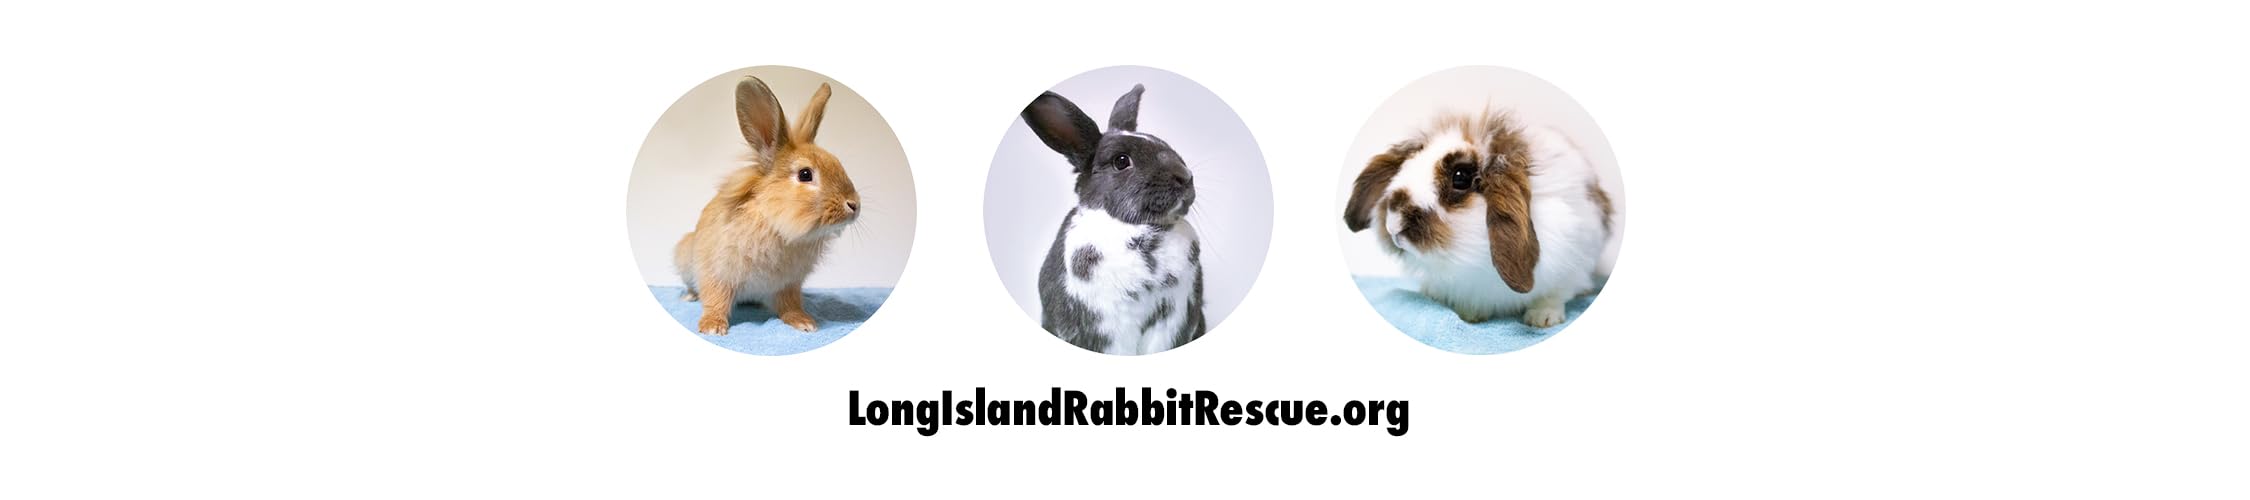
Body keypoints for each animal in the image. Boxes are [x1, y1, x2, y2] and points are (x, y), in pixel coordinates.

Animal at [673, 75, 861, 335]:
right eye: (805, 174)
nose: (854, 205)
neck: (774, 223)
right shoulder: (717, 271)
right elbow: (715, 299)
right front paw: (712, 326)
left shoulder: (787, 284)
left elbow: (791, 305)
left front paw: (804, 322)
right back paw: (690, 297)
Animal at [1343, 108, 1615, 328]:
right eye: (1408, 163)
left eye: (1460, 177)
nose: (1393, 224)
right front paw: (1469, 314)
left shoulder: (1570, 263)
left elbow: (1554, 295)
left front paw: (1542, 318)